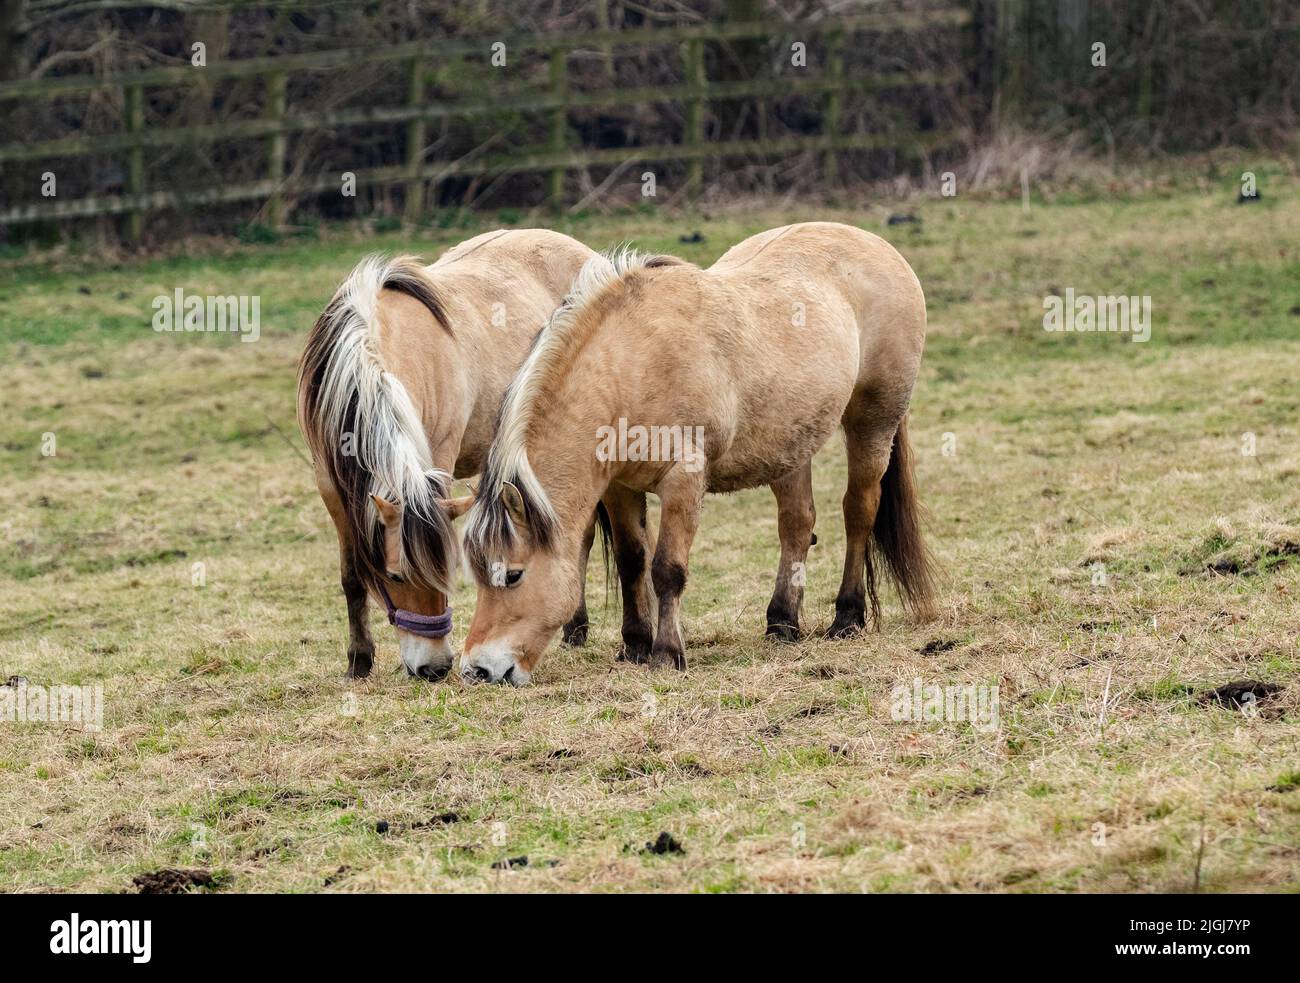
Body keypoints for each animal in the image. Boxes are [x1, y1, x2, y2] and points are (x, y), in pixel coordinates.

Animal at [296, 229, 599, 681]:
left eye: (447, 571)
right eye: (394, 576)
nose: (434, 668)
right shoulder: (330, 485)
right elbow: (351, 577)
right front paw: (359, 660)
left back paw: (576, 626)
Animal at [458, 222, 935, 686]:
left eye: (513, 574)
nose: (478, 670)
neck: (634, 364)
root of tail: (876, 244)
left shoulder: (683, 480)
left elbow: (667, 568)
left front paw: (667, 654)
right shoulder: (618, 487)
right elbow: (632, 561)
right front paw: (634, 645)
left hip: (873, 422)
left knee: (859, 512)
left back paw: (847, 616)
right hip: (793, 445)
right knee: (797, 526)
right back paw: (782, 623)